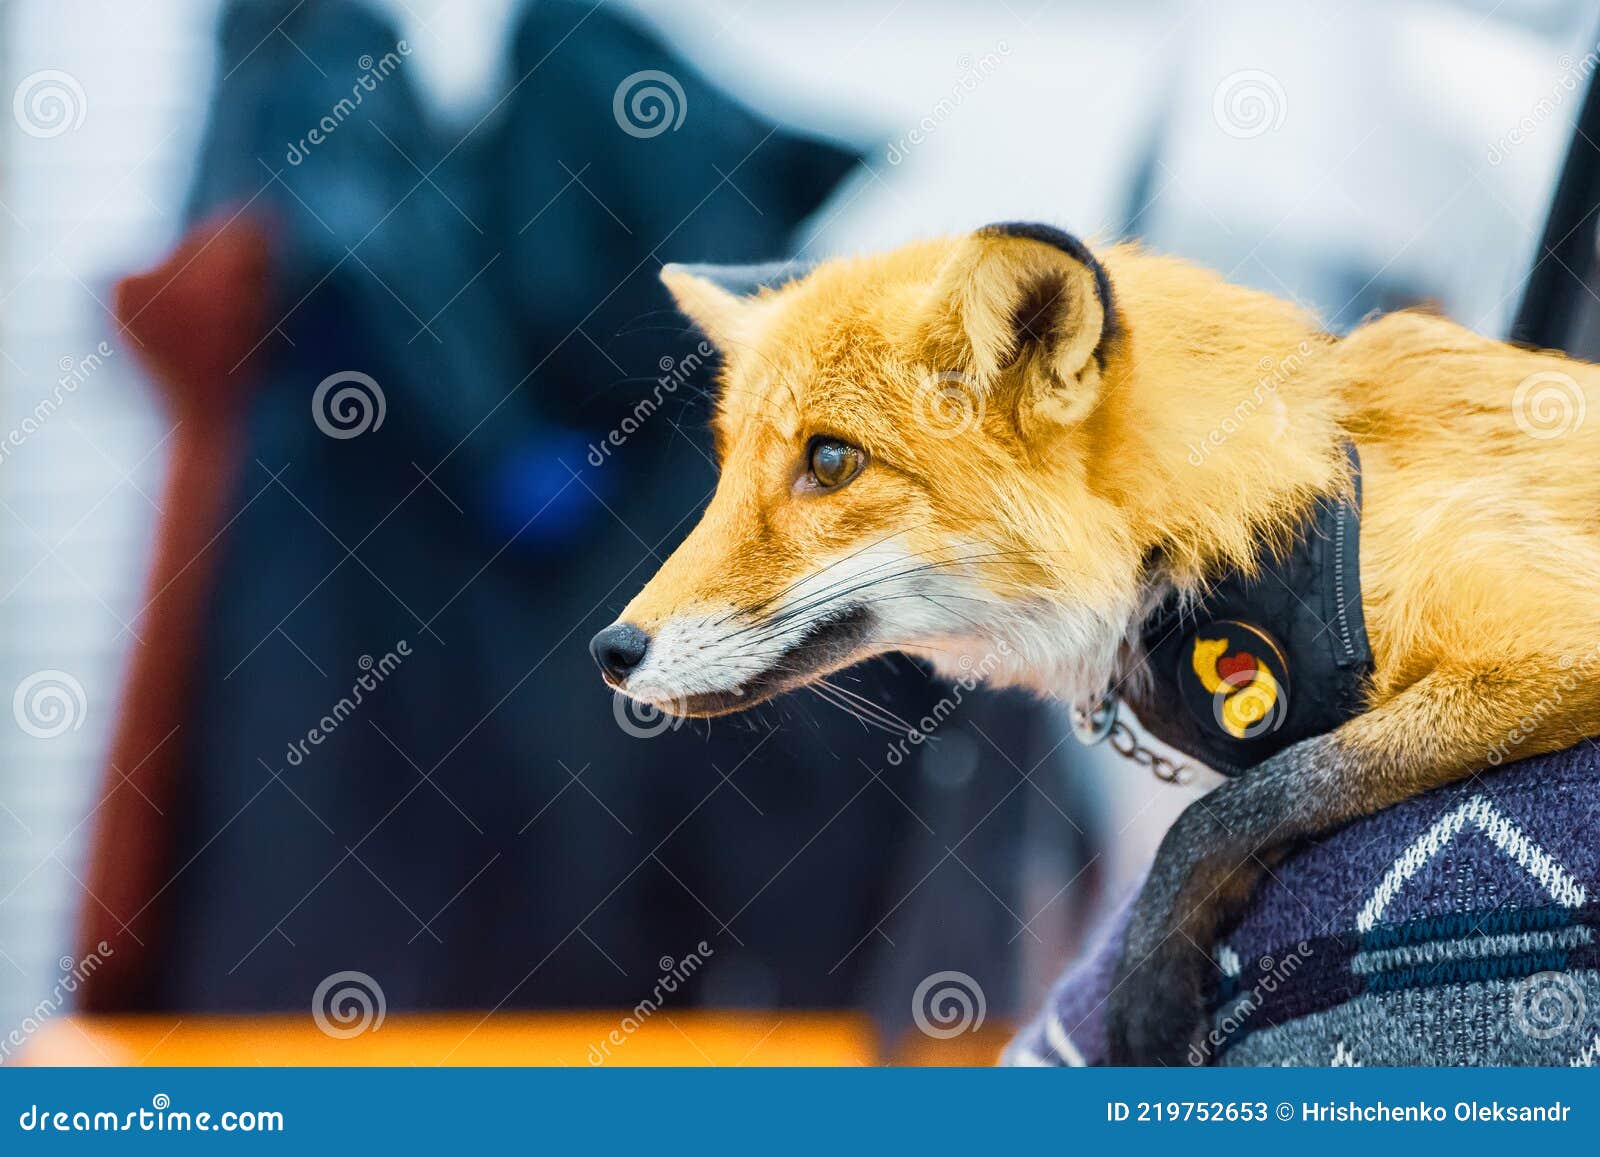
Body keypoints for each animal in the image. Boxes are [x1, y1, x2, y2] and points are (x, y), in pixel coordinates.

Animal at [589, 223, 1600, 1064]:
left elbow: (1241, 802)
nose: (611, 650)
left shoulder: (1554, 639)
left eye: (832, 461)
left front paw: (1145, 989)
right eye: (727, 468)